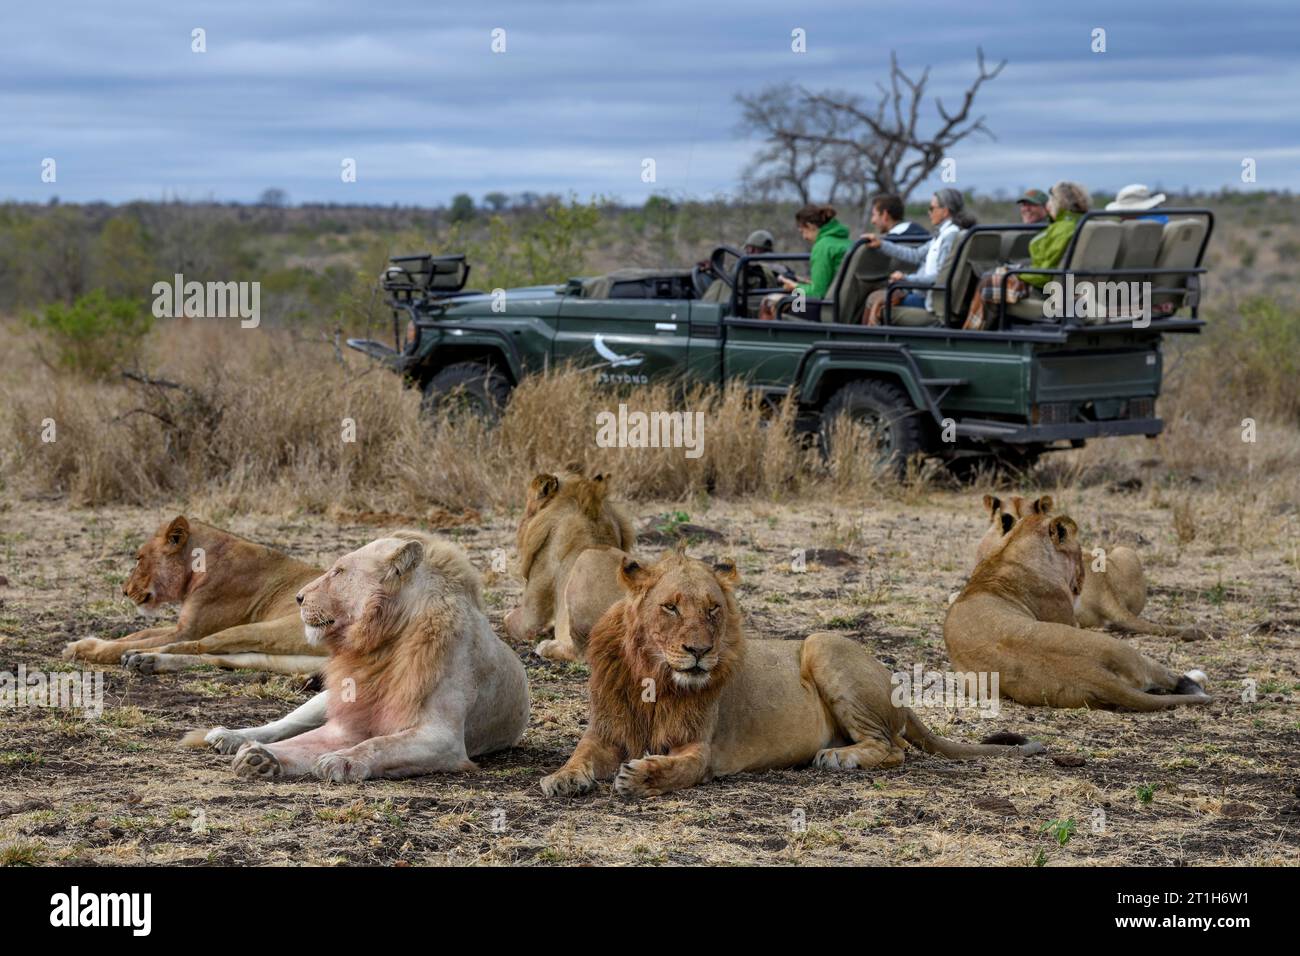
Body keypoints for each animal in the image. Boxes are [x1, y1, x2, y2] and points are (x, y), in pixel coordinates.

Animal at [62, 515, 326, 675]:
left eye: (139, 558)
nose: (124, 591)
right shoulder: (181, 624)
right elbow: (138, 634)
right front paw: (82, 643)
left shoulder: (188, 630)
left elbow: (130, 643)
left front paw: (84, 650)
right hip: (282, 655)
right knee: (221, 657)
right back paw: (146, 661)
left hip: (266, 630)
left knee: (196, 645)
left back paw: (137, 657)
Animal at [183, 530, 530, 781]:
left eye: (338, 571)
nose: (298, 597)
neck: (383, 643)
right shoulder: (346, 722)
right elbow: (299, 742)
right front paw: (259, 758)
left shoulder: (443, 737)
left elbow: (378, 743)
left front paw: (342, 760)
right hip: (325, 698)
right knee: (285, 723)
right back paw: (230, 736)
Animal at [539, 552, 1043, 798]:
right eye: (670, 607)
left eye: (713, 609)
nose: (700, 651)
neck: (655, 681)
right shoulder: (605, 732)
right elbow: (579, 755)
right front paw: (562, 778)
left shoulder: (701, 750)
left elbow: (678, 769)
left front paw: (640, 777)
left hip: (822, 644)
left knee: (893, 747)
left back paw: (838, 758)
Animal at [947, 511, 1211, 711]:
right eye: (1079, 551)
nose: (1083, 577)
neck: (1005, 556)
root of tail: (1092, 674)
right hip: (1126, 650)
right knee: (1169, 677)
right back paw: (1197, 680)